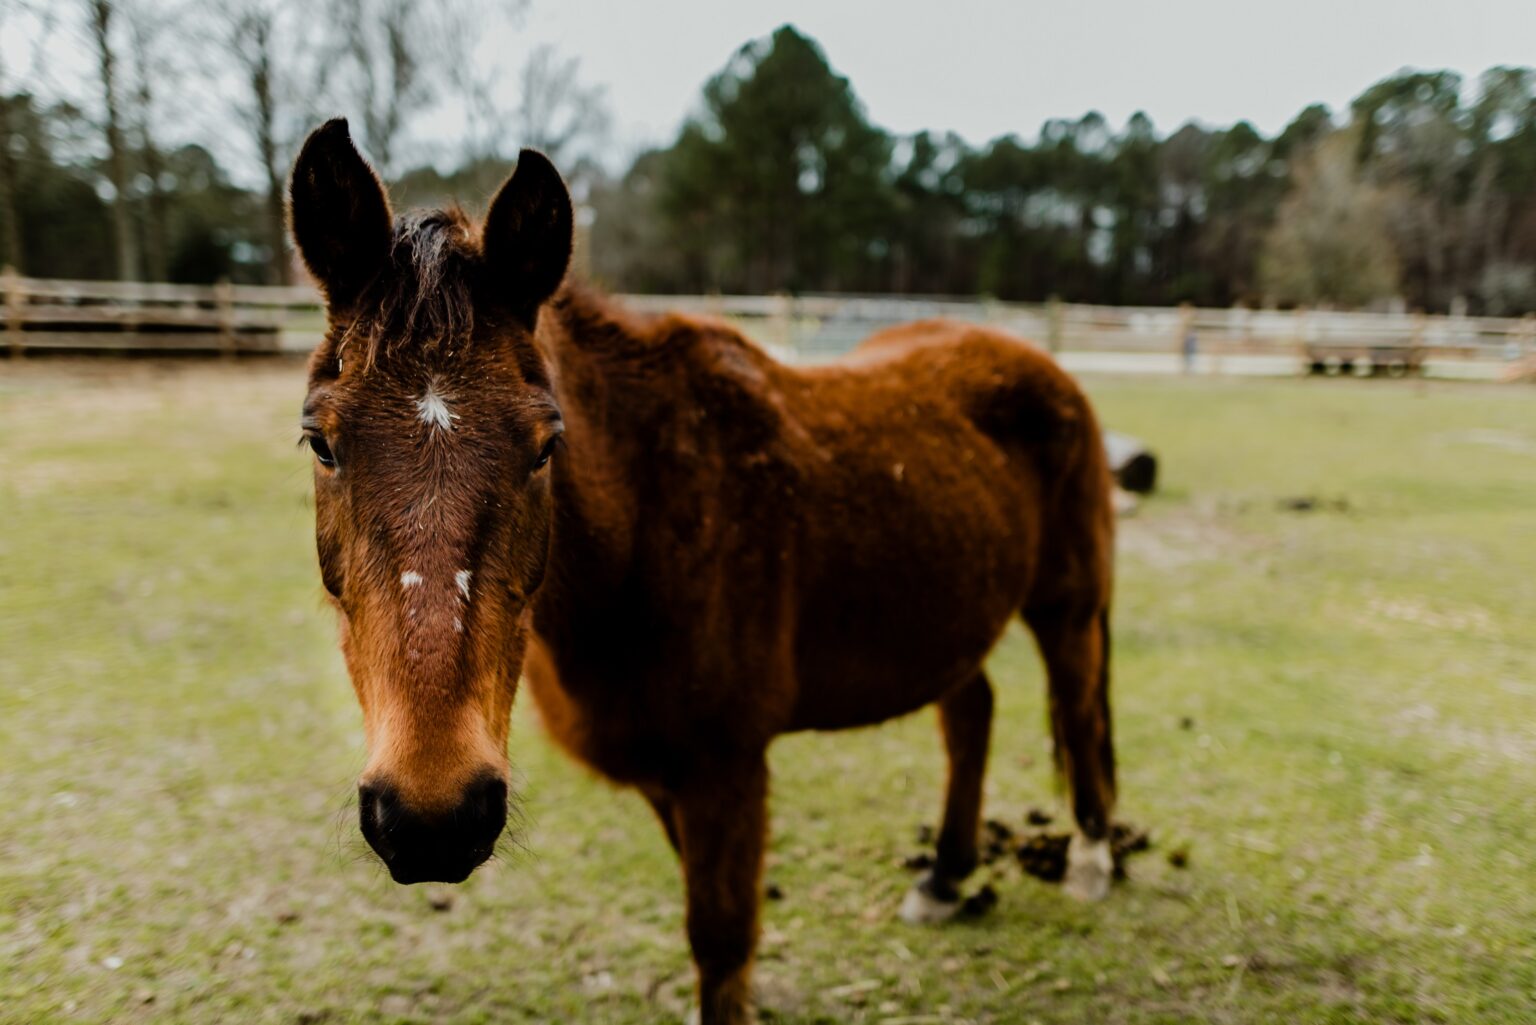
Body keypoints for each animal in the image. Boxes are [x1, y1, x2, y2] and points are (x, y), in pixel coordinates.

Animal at [289, 118, 1117, 1025]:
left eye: (546, 444)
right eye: (320, 441)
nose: (433, 816)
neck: (648, 535)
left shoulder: (727, 765)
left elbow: (720, 937)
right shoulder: (669, 771)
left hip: (1069, 605)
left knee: (1079, 706)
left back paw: (1091, 856)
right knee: (972, 716)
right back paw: (945, 874)